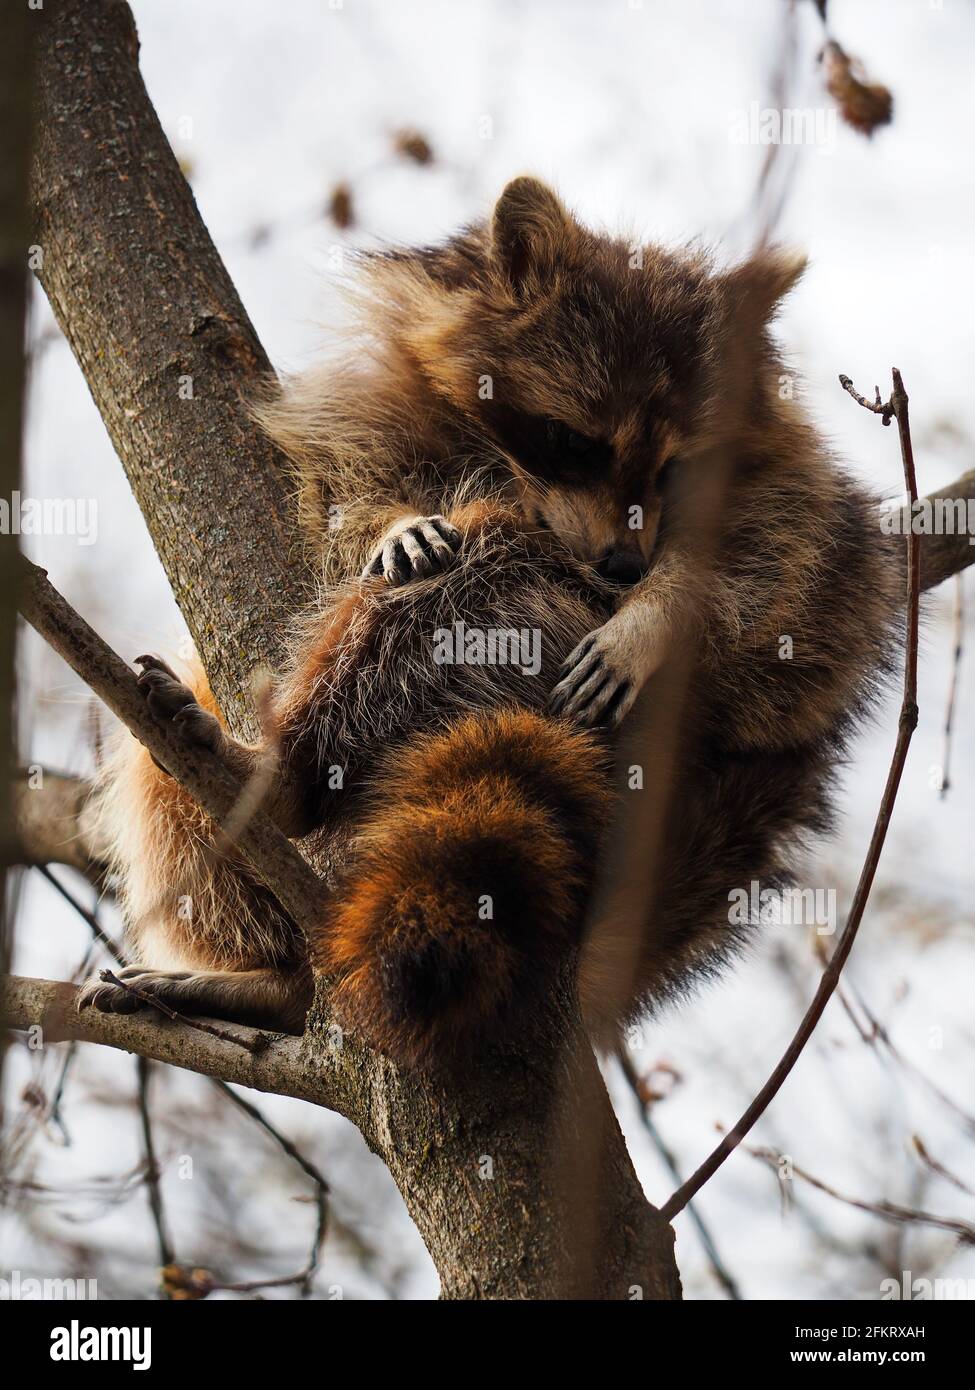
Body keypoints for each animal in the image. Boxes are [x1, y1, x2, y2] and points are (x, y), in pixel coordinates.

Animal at [80, 179, 900, 1065]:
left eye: (676, 468)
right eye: (575, 442)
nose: (624, 568)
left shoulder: (802, 519)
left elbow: (790, 552)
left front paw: (658, 612)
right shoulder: (381, 389)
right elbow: (343, 484)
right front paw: (393, 519)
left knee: (481, 566)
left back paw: (287, 790)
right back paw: (275, 929)